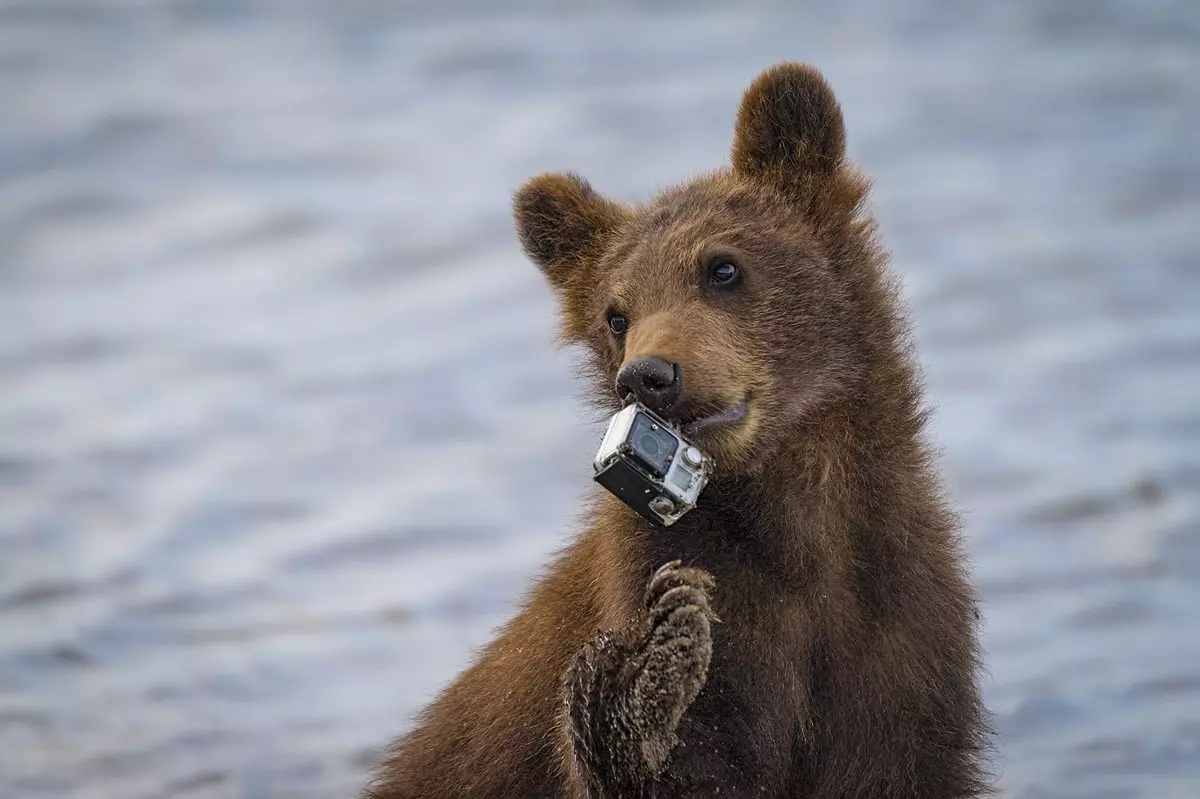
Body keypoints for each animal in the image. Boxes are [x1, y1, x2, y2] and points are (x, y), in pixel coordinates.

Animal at [360, 62, 988, 796]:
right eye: (615, 314)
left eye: (723, 266)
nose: (648, 375)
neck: (799, 522)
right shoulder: (685, 603)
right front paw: (645, 682)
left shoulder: (899, 640)